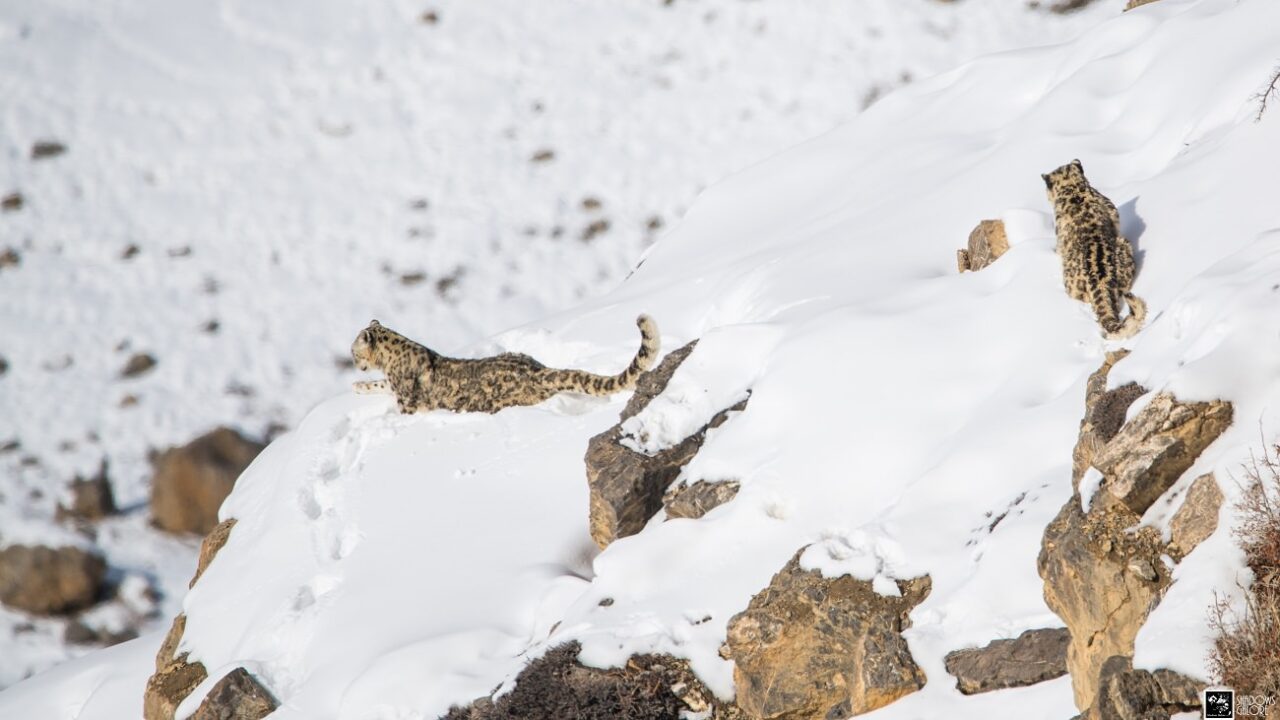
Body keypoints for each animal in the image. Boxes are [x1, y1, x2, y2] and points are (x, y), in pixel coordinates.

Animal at [351, 315, 660, 414]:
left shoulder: (408, 406)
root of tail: (537, 370)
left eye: (353, 352)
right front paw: (358, 387)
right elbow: (380, 385)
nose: (355, 364)